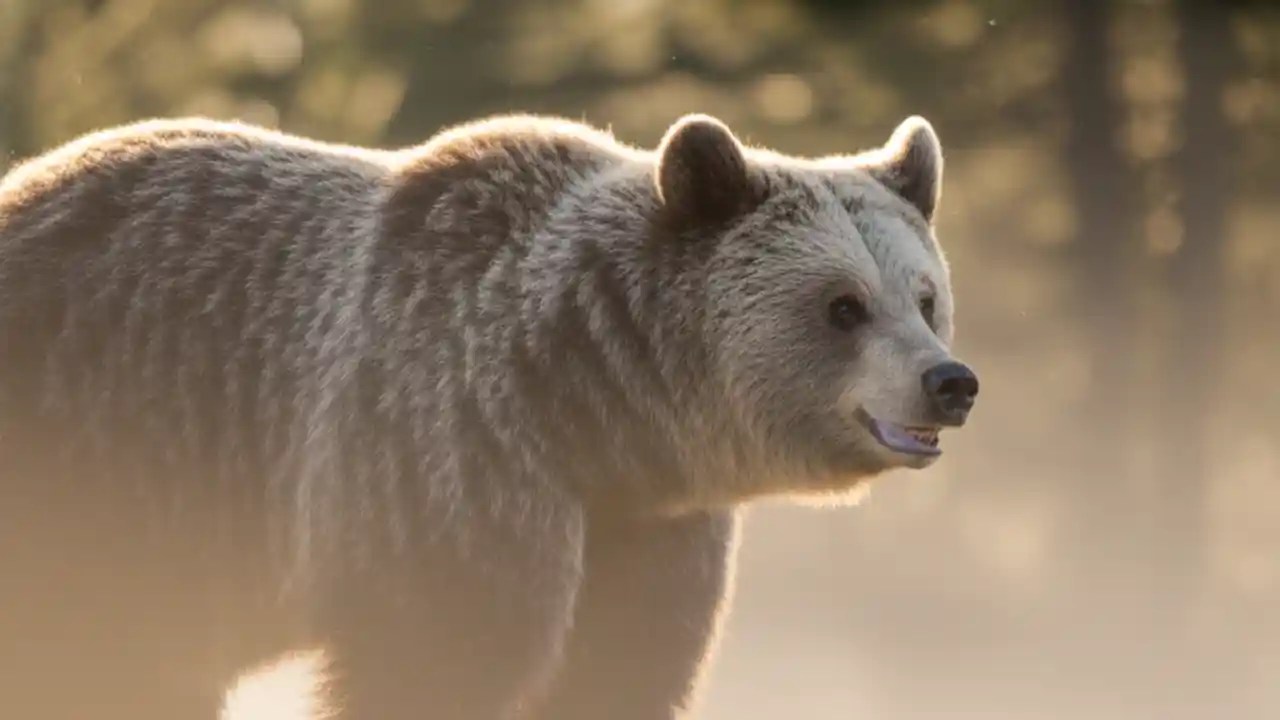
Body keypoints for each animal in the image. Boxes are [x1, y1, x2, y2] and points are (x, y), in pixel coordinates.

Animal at [0, 111, 977, 720]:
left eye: (925, 297)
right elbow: (436, 655)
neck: (597, 410)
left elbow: (619, 671)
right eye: (843, 305)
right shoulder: (444, 452)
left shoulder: (645, 534)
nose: (950, 382)